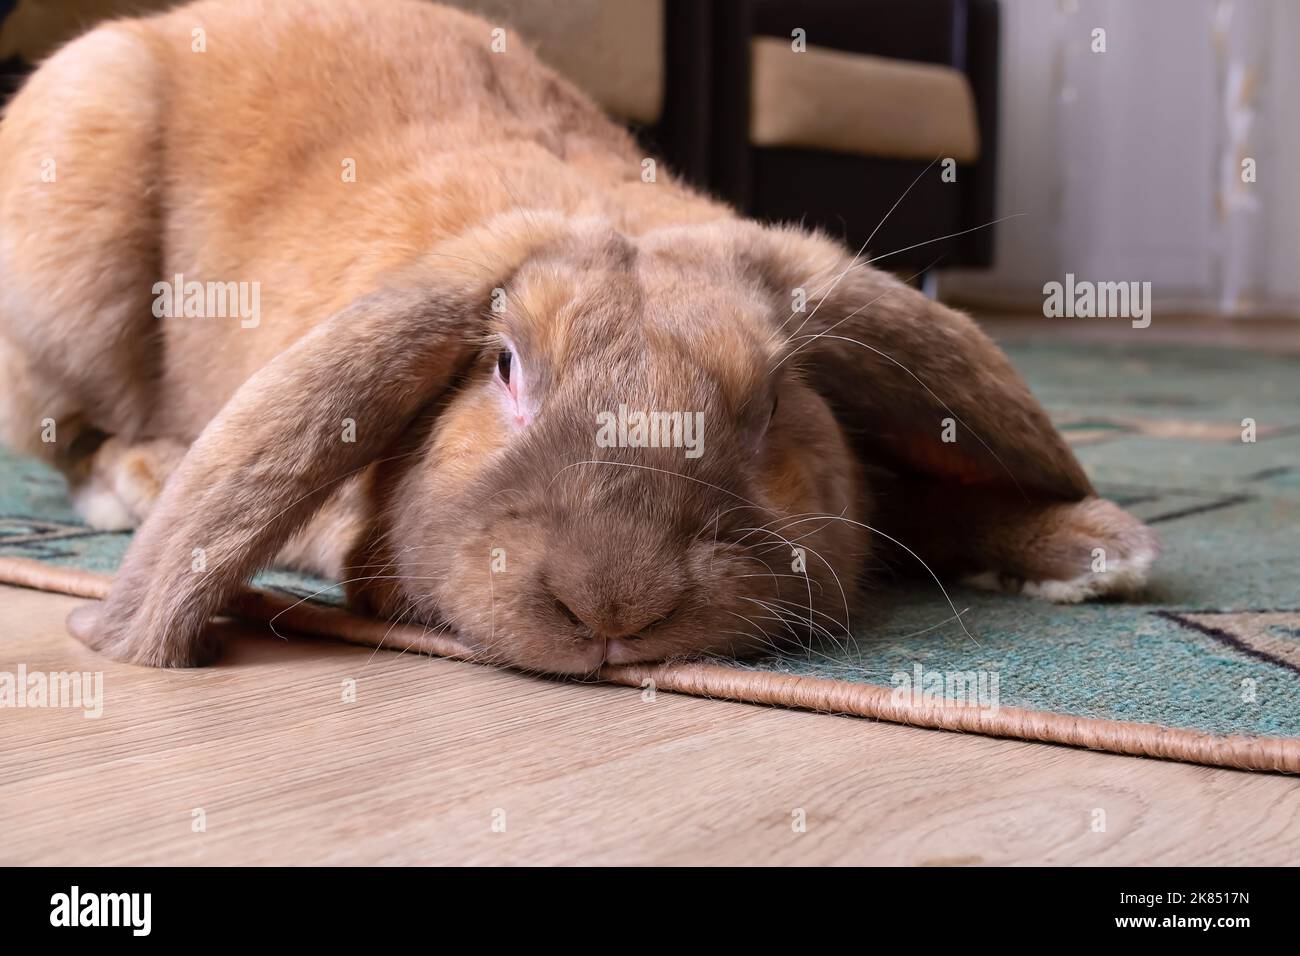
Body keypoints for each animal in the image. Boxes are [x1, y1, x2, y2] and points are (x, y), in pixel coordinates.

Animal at [0, 0, 1158, 674]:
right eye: (504, 367)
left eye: (772, 404)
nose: (614, 602)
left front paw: (1093, 551)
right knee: (75, 439)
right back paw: (145, 476)